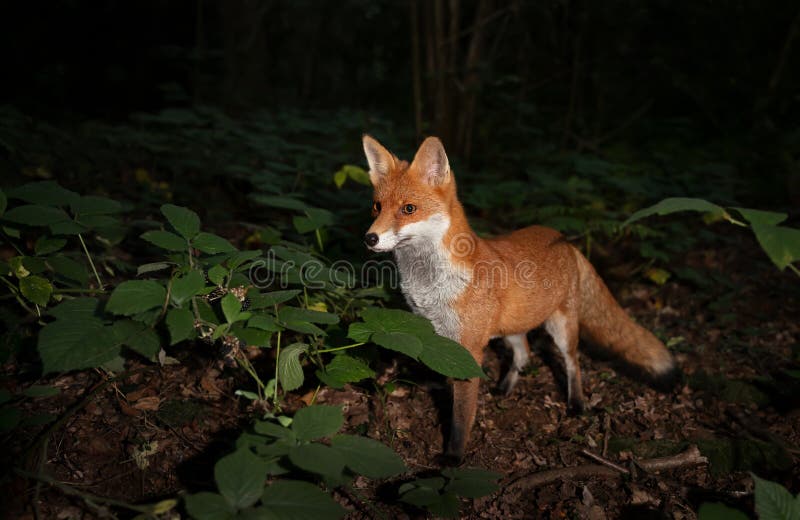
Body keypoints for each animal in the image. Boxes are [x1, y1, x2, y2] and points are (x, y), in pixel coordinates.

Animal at [361, 134, 679, 460]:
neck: (428, 283)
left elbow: (462, 415)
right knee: (525, 353)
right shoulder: (437, 334)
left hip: (561, 328)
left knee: (572, 362)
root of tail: (563, 238)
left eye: (409, 209)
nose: (369, 238)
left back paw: (577, 403)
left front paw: (454, 457)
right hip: (512, 328)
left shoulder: (470, 348)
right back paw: (506, 387)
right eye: (377, 206)